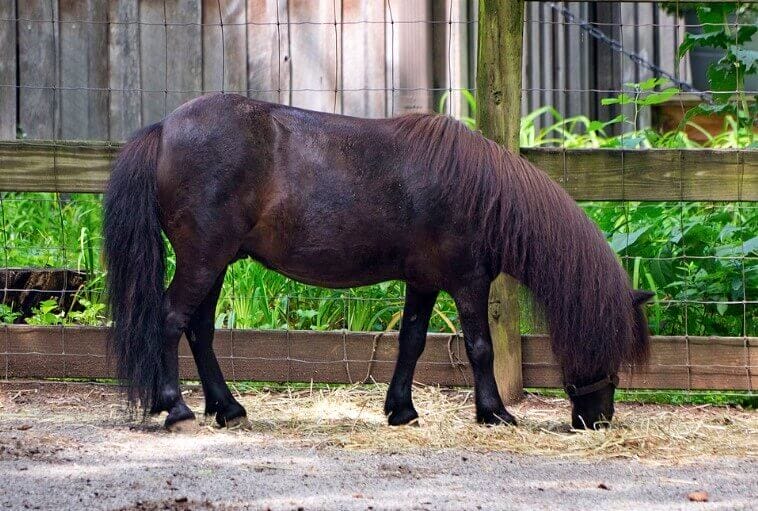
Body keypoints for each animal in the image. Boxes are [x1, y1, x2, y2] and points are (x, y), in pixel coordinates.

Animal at [103, 93, 653, 431]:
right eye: (613, 341)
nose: (597, 419)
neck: (481, 192)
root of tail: (164, 128)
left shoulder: (424, 282)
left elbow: (411, 342)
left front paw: (401, 410)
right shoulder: (469, 281)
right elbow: (480, 348)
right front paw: (495, 413)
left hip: (215, 262)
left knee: (199, 330)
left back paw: (227, 408)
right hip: (202, 259)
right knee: (171, 321)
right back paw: (175, 407)